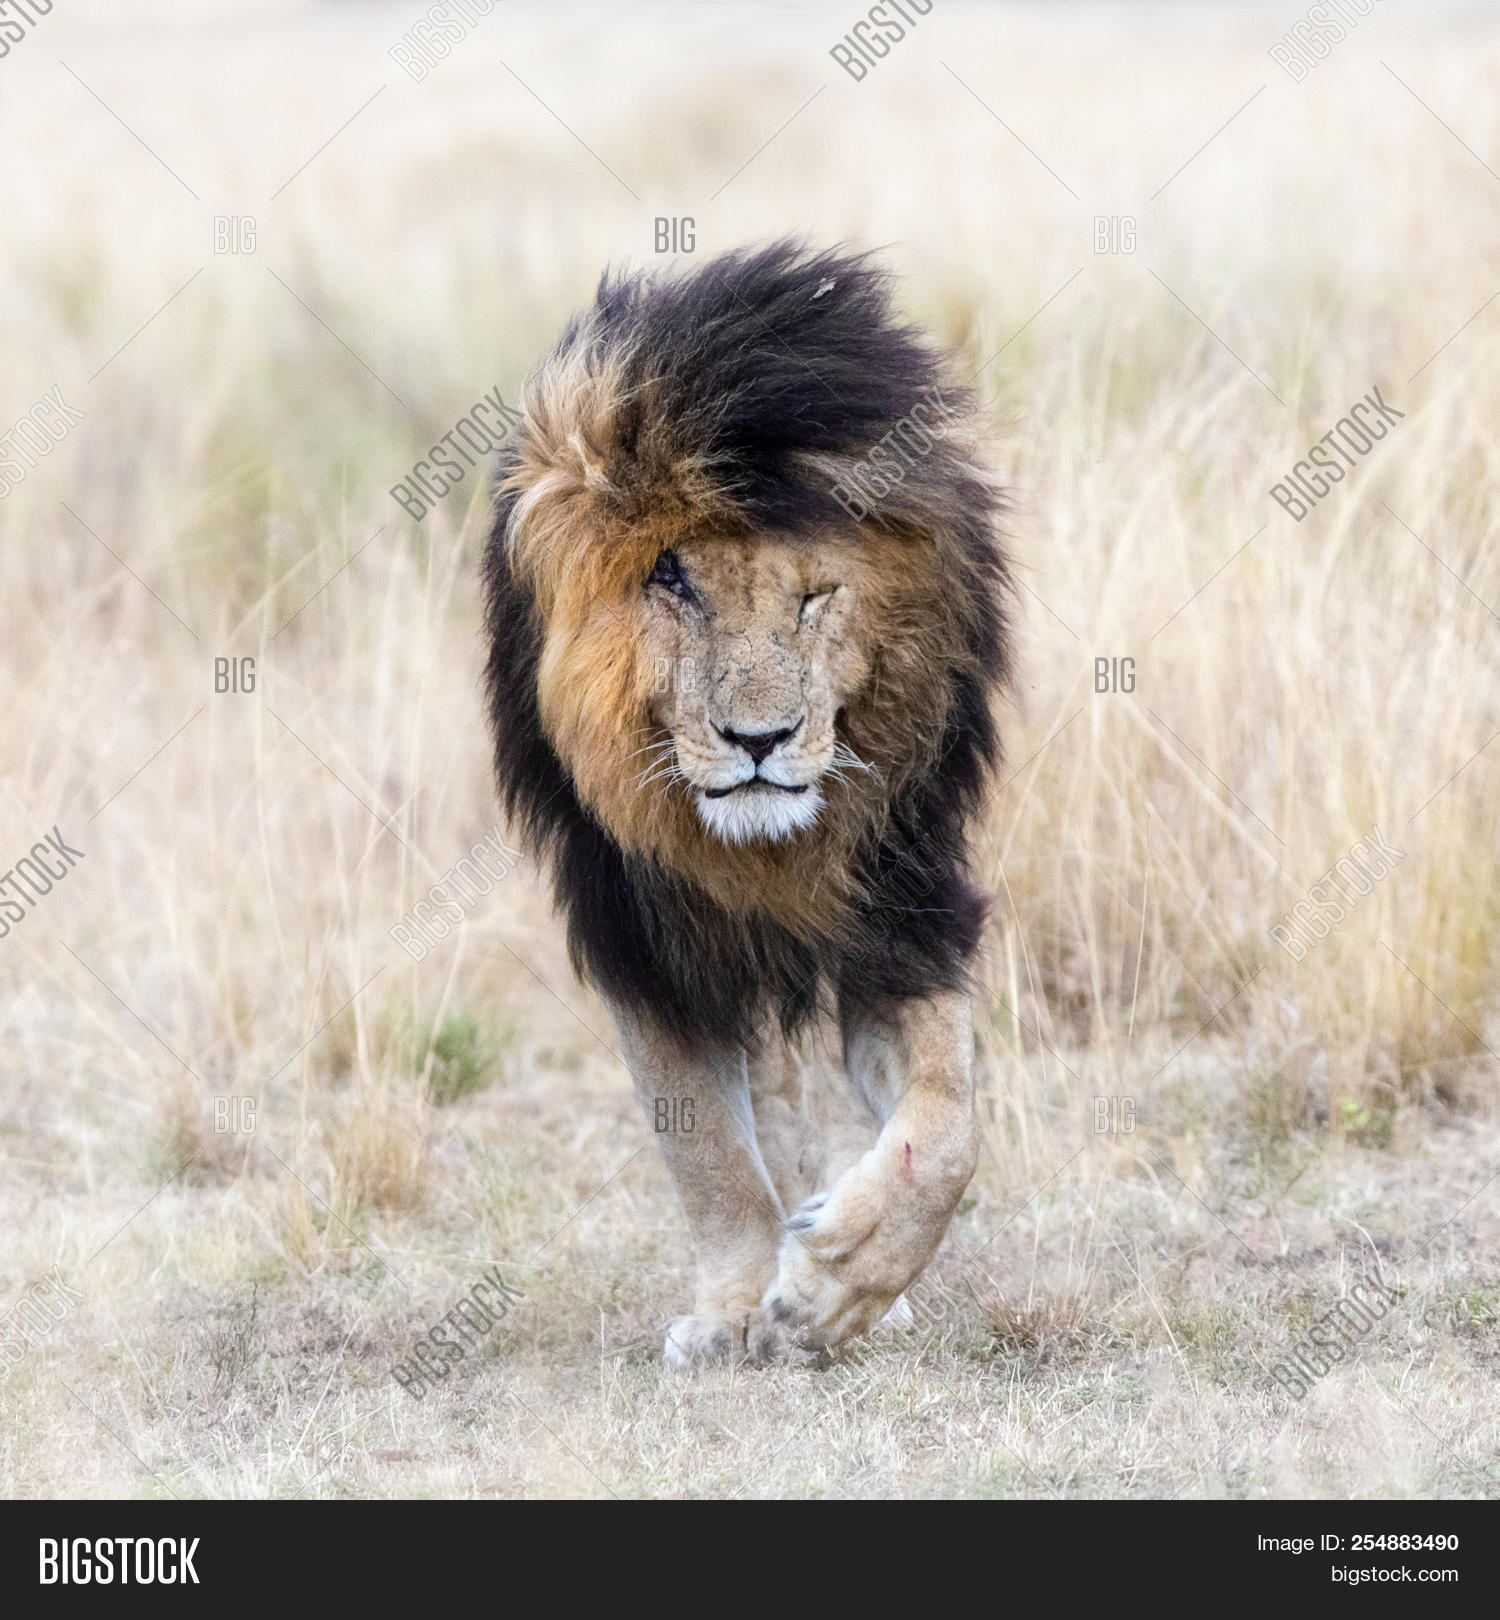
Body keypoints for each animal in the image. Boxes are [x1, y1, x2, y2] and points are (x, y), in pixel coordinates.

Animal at [482, 241, 1011, 1362]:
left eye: (814, 595)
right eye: (673, 582)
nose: (759, 742)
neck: (759, 851)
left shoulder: (900, 910)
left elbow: (949, 1128)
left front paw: (839, 1286)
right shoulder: (640, 936)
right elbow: (709, 1147)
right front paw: (734, 1310)